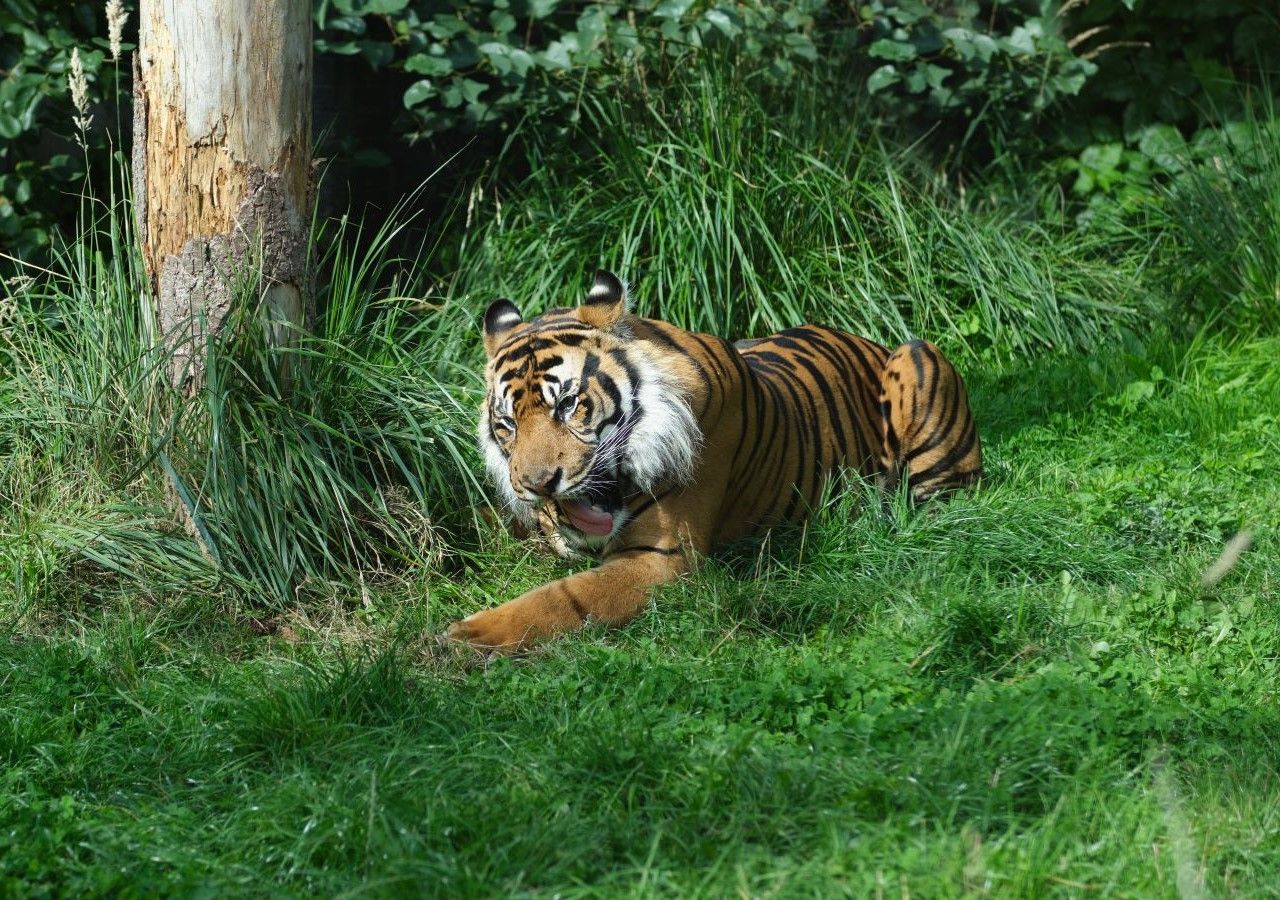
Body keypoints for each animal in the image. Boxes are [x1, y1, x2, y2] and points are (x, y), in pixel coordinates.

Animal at [447, 270, 981, 652]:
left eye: (568, 405)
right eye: (507, 424)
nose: (536, 485)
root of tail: (874, 341)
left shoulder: (661, 559)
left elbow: (564, 597)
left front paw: (470, 634)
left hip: (919, 359)